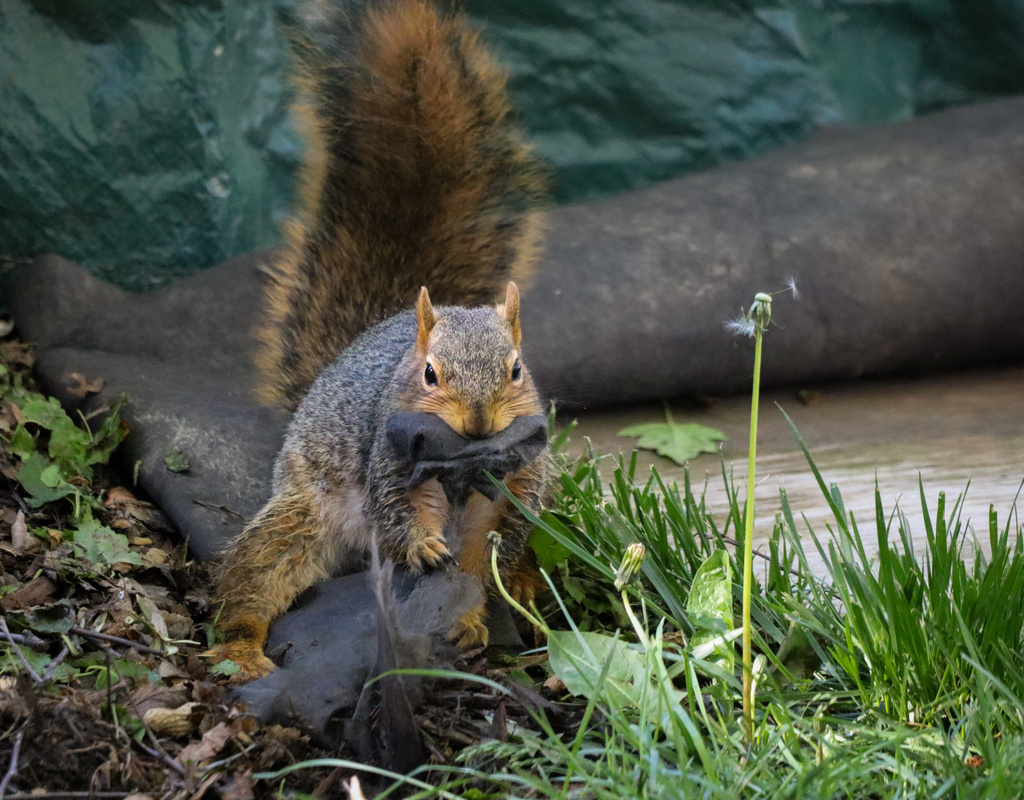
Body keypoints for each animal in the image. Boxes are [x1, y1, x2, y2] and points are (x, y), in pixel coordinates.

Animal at [208, 0, 552, 680]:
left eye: (517, 370)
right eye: (429, 374)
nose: (478, 422)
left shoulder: (518, 483)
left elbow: (489, 555)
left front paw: (473, 615)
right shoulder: (388, 460)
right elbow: (395, 514)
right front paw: (421, 549)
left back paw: (525, 587)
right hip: (302, 514)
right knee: (255, 575)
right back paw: (240, 648)